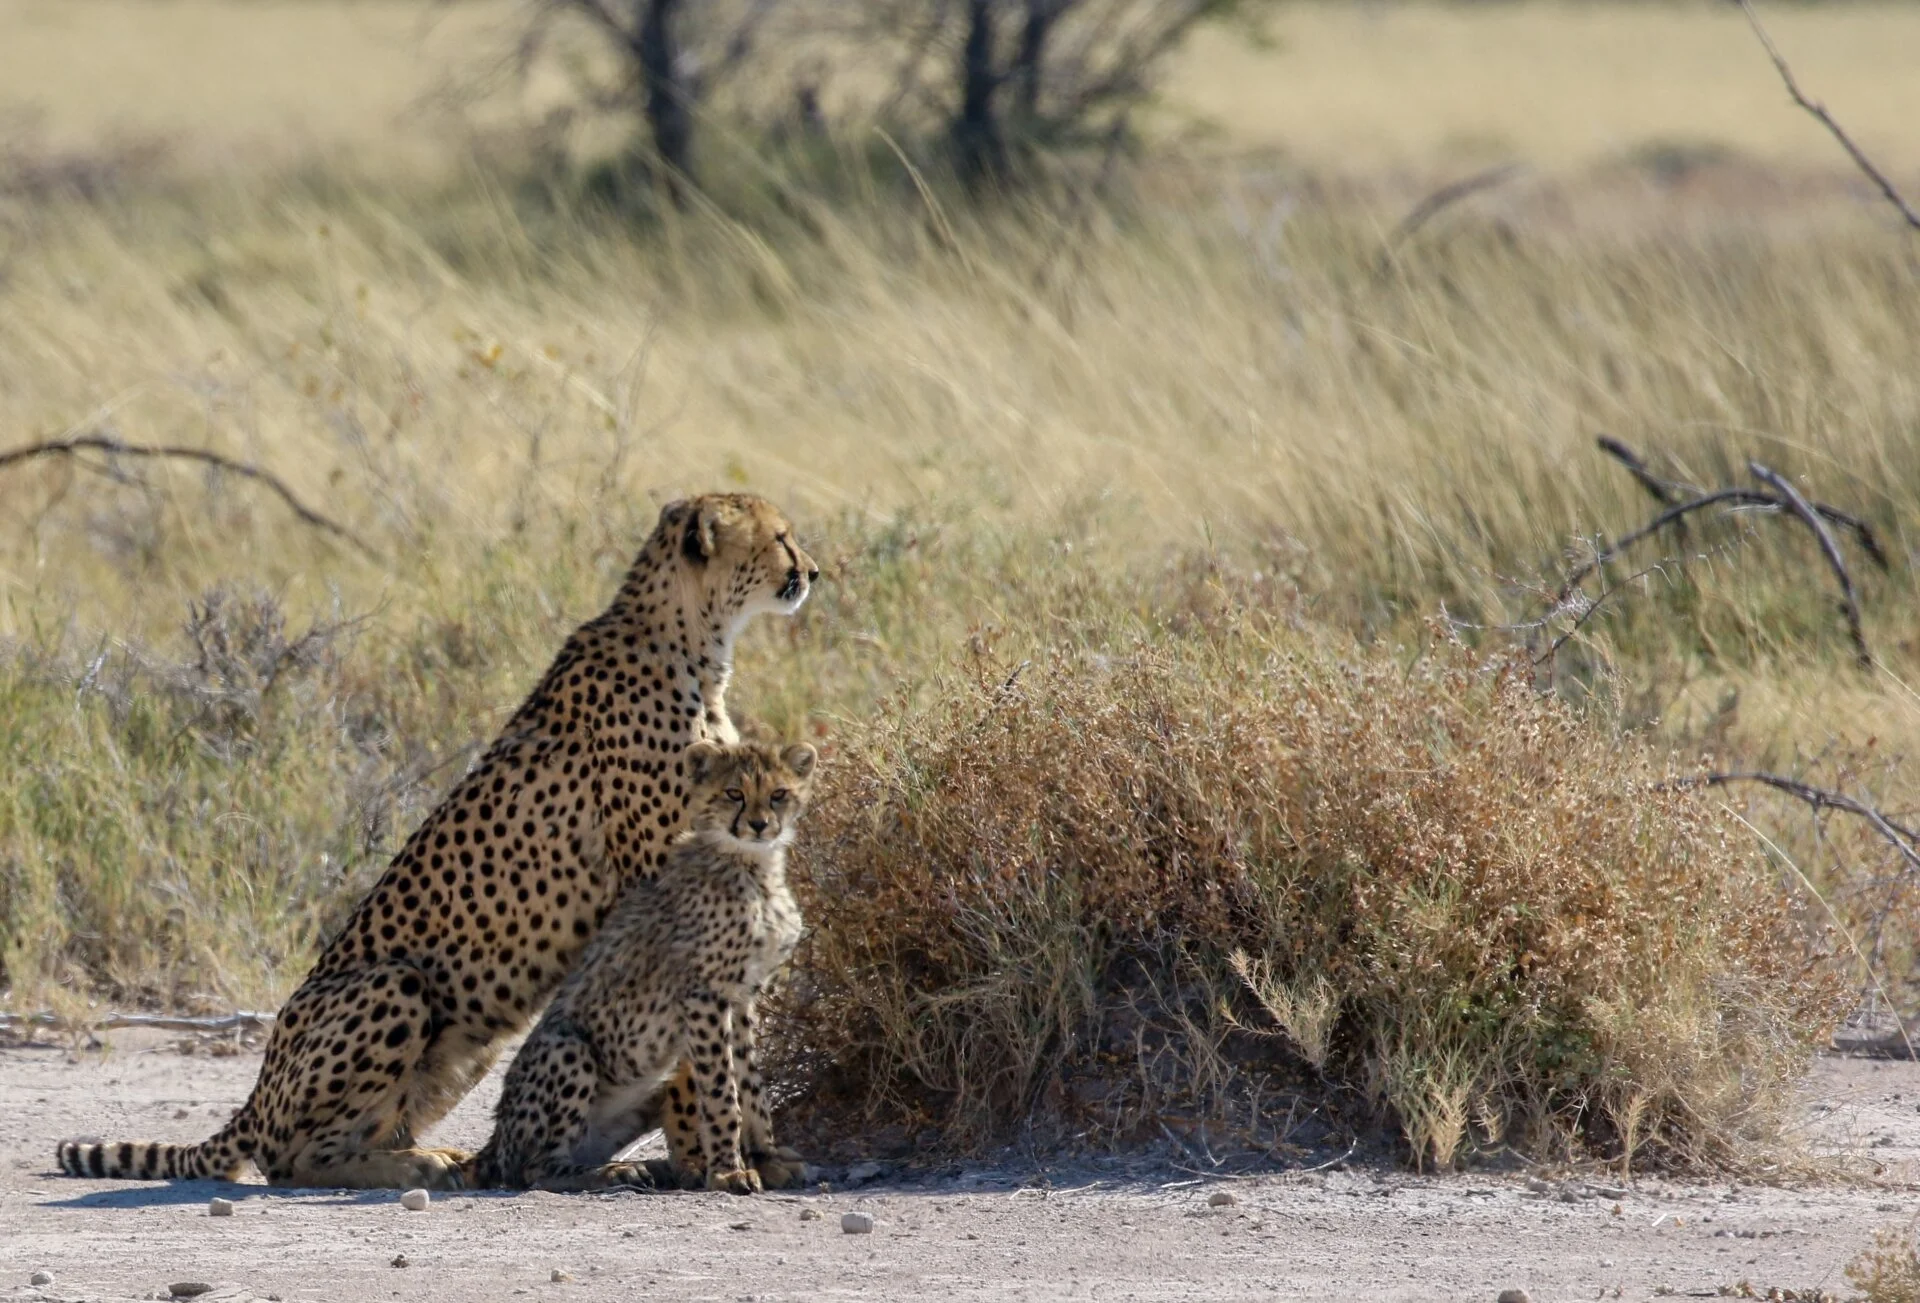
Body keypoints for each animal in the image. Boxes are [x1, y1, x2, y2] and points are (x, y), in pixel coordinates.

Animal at [460, 737, 815, 1194]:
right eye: (734, 792)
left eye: (778, 794)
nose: (758, 825)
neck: (753, 866)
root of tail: (494, 1142)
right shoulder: (704, 995)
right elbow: (722, 1091)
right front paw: (727, 1171)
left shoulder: (741, 998)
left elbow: (751, 1086)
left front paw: (767, 1159)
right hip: (568, 1047)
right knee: (536, 1168)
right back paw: (616, 1171)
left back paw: (659, 1167)